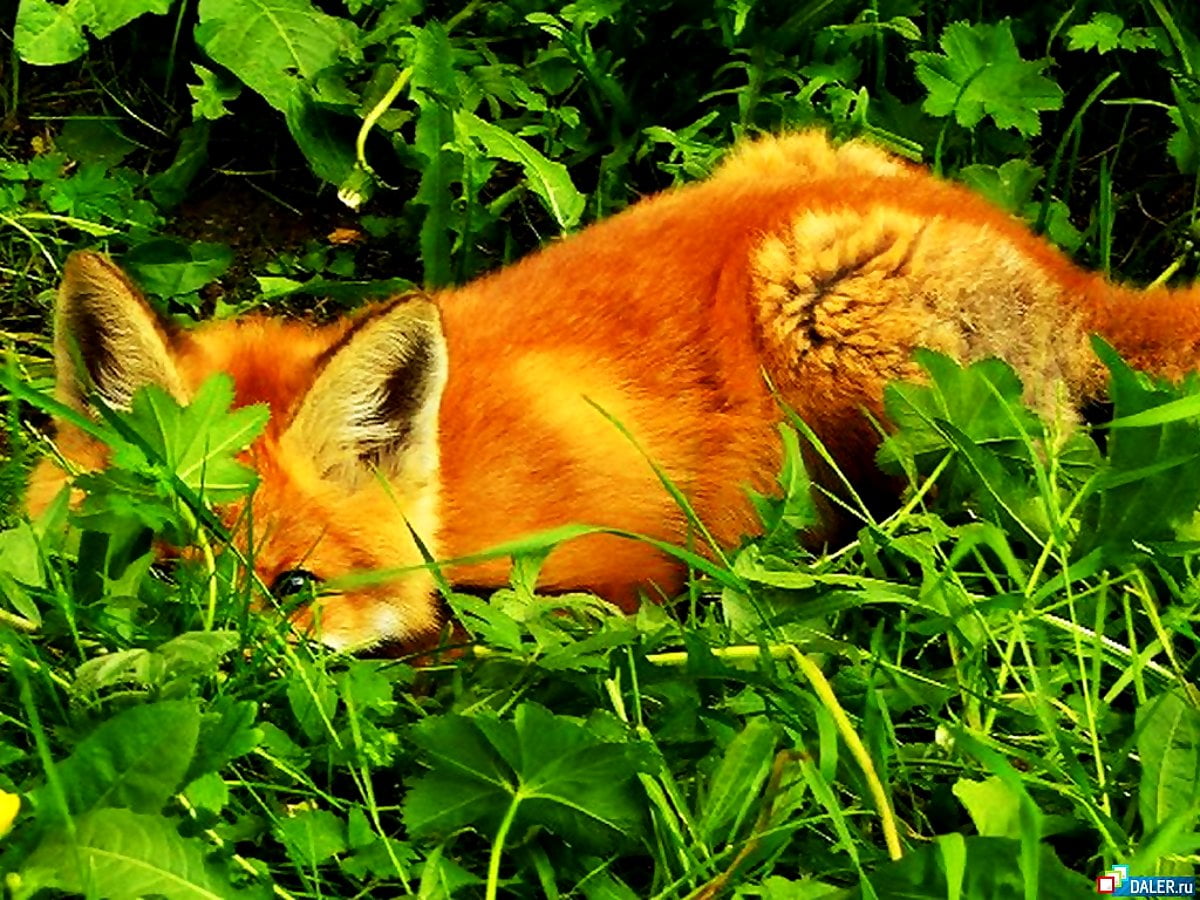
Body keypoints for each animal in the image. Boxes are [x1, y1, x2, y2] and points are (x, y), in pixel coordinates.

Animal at [24, 130, 1200, 649]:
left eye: (295, 587)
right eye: (153, 569)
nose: (197, 671)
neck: (452, 497)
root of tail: (1057, 265)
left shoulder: (614, 574)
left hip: (830, 317)